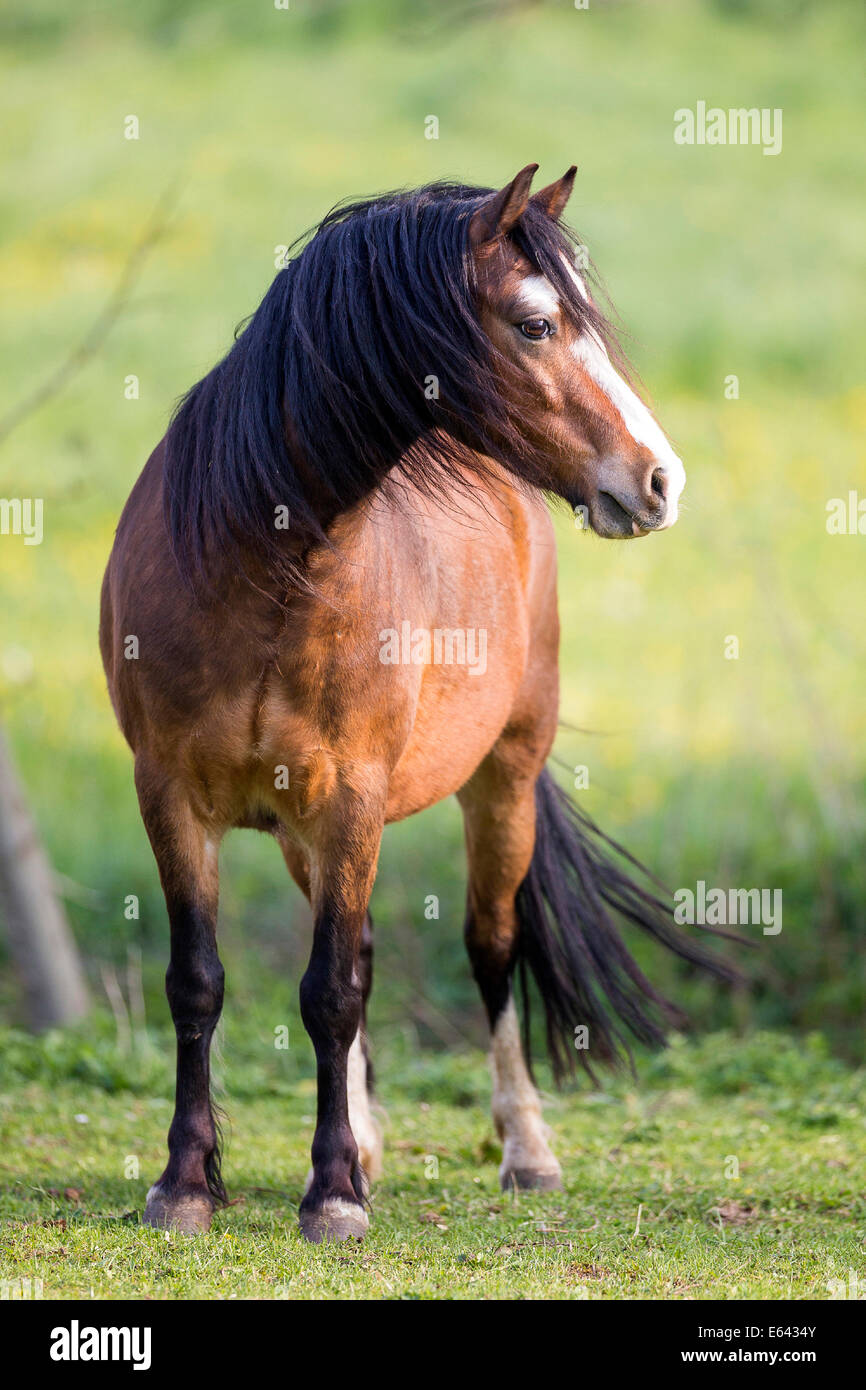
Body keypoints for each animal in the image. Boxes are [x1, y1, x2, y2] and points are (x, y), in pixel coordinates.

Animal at [100, 163, 735, 1243]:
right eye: (535, 323)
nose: (659, 480)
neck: (260, 565)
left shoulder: (352, 795)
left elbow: (331, 991)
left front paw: (331, 1197)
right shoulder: (170, 795)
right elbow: (202, 982)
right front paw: (188, 1182)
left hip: (501, 781)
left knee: (487, 947)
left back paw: (524, 1151)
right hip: (303, 828)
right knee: (353, 949)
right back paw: (364, 1141)